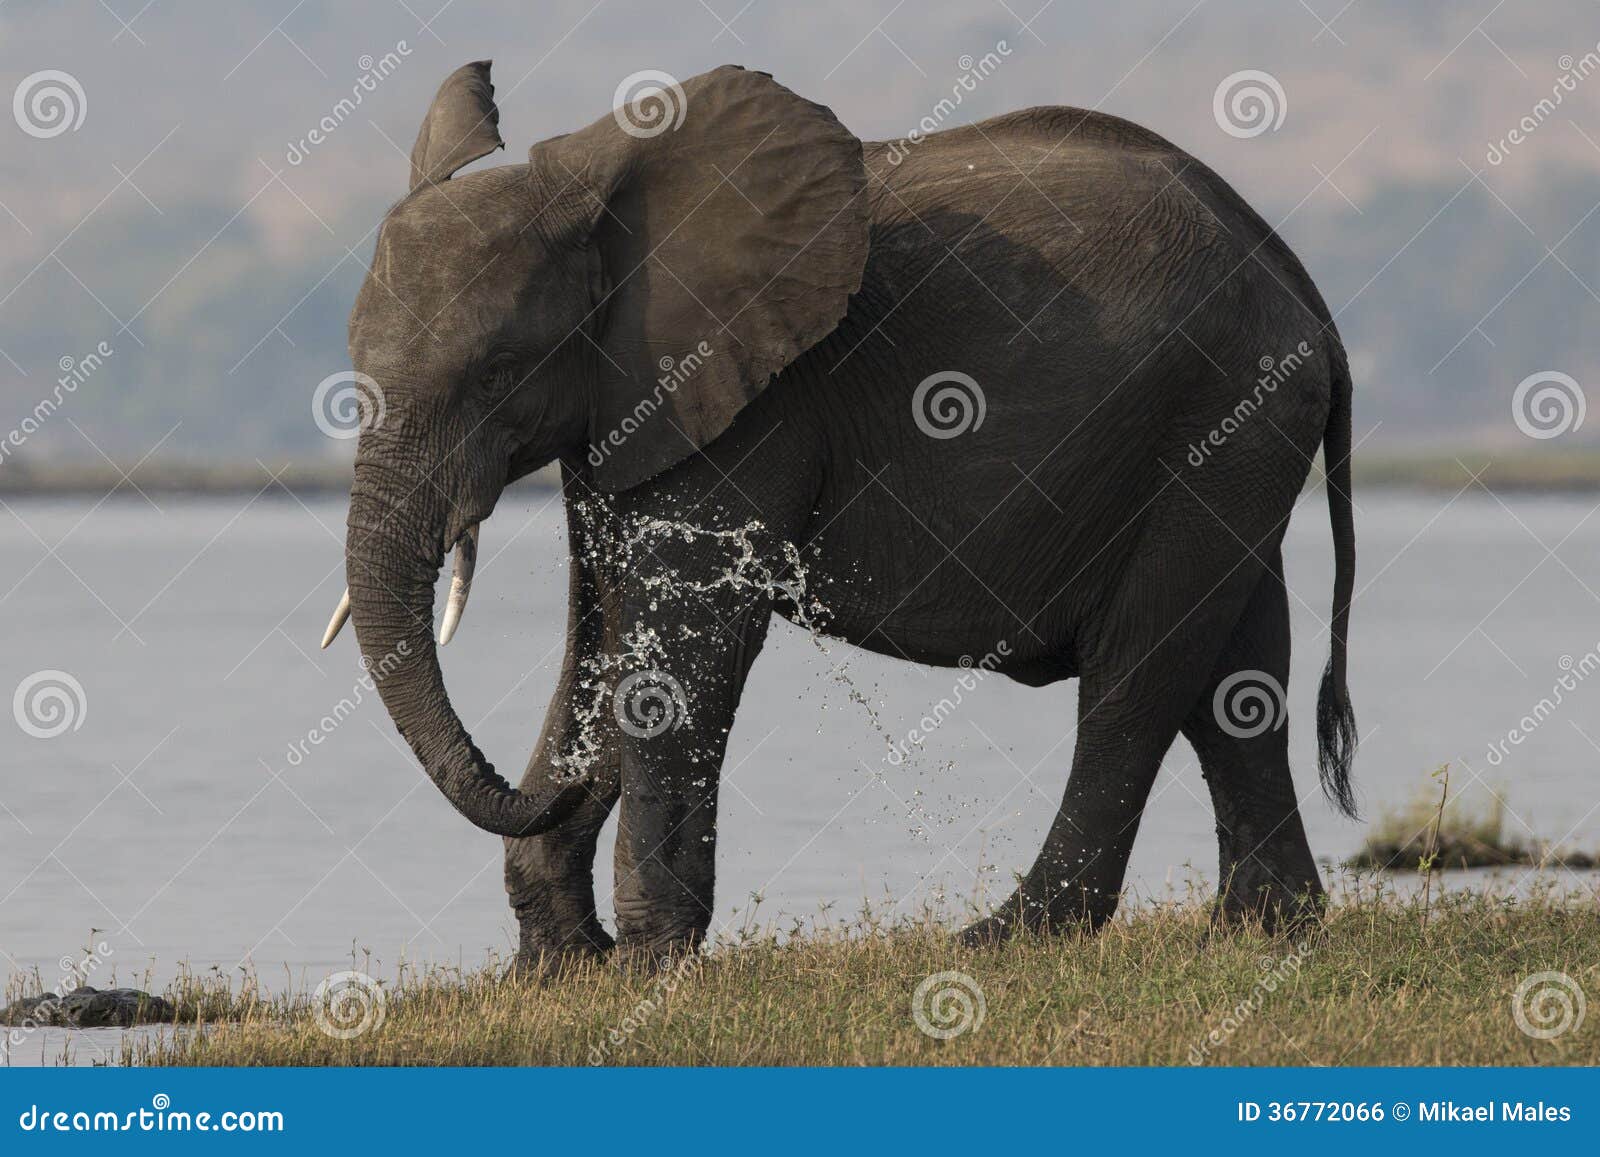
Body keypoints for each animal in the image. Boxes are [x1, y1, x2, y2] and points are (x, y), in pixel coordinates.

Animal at [320, 61, 1357, 965]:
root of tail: (1304, 288)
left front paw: (649, 969)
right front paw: (557, 968)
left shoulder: (752, 397)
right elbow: (606, 627)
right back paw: (1268, 932)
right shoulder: (623, 402)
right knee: (1237, 676)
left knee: (1134, 678)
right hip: (1234, 442)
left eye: (497, 372)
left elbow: (680, 636)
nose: (538, 789)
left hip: (1221, 417)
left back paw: (1006, 939)